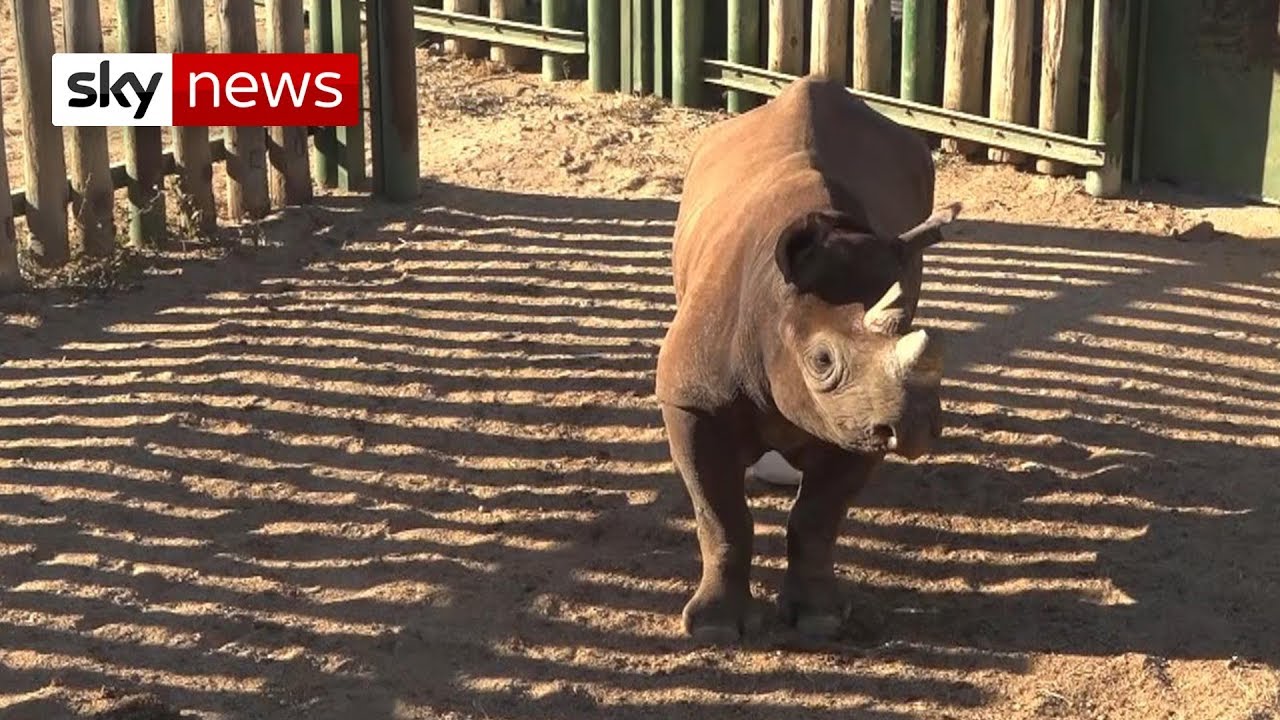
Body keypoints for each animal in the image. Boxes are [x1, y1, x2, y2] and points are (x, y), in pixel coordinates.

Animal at [655, 75, 960, 641]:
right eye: (821, 361)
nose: (914, 429)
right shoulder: (690, 399)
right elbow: (720, 516)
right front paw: (714, 629)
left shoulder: (861, 417)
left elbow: (817, 520)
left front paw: (820, 619)